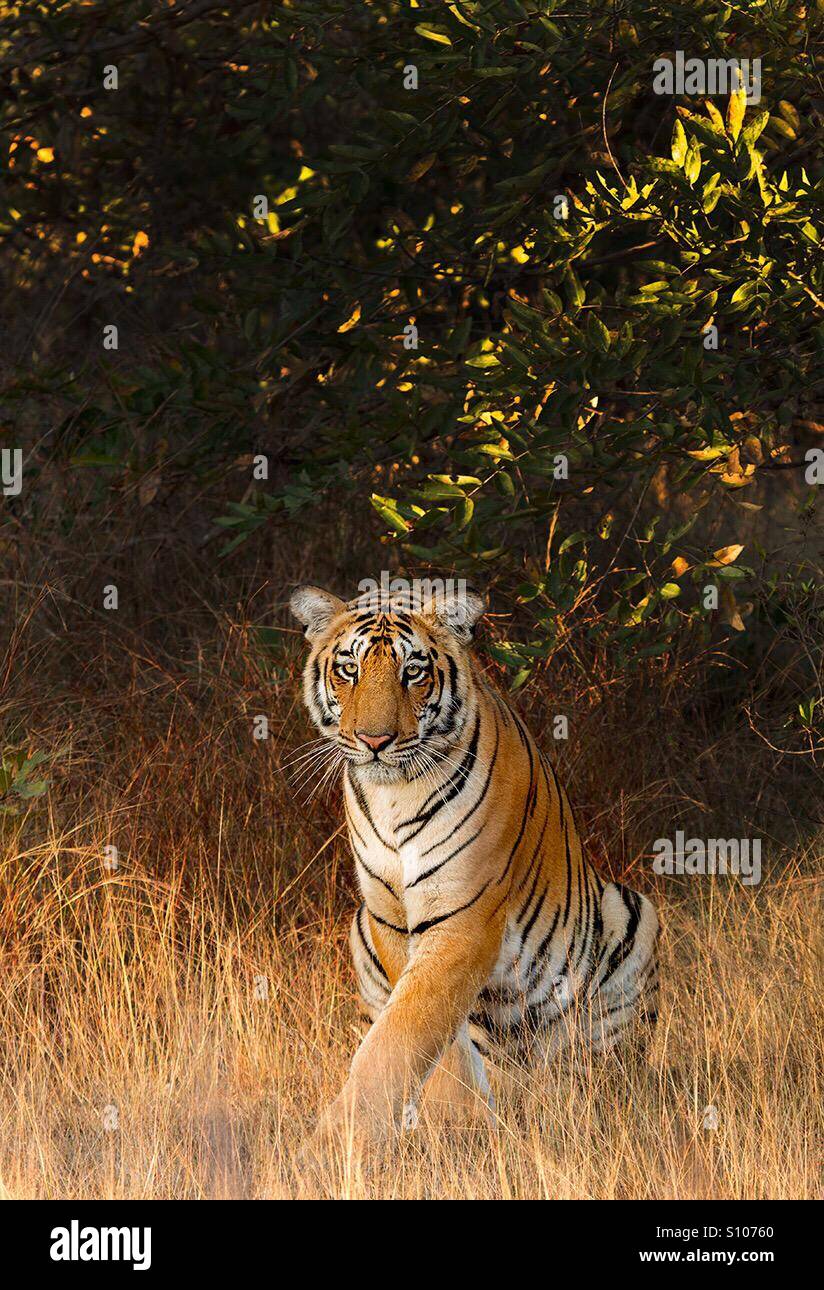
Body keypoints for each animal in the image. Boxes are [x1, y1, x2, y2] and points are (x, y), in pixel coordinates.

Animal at [289, 582, 660, 1150]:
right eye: (348, 669)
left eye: (413, 671)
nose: (374, 741)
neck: (393, 794)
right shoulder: (390, 918)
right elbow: (426, 1034)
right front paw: (456, 1118)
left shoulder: (464, 917)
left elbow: (403, 1034)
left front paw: (336, 1142)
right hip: (359, 929)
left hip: (632, 918)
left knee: (593, 1069)